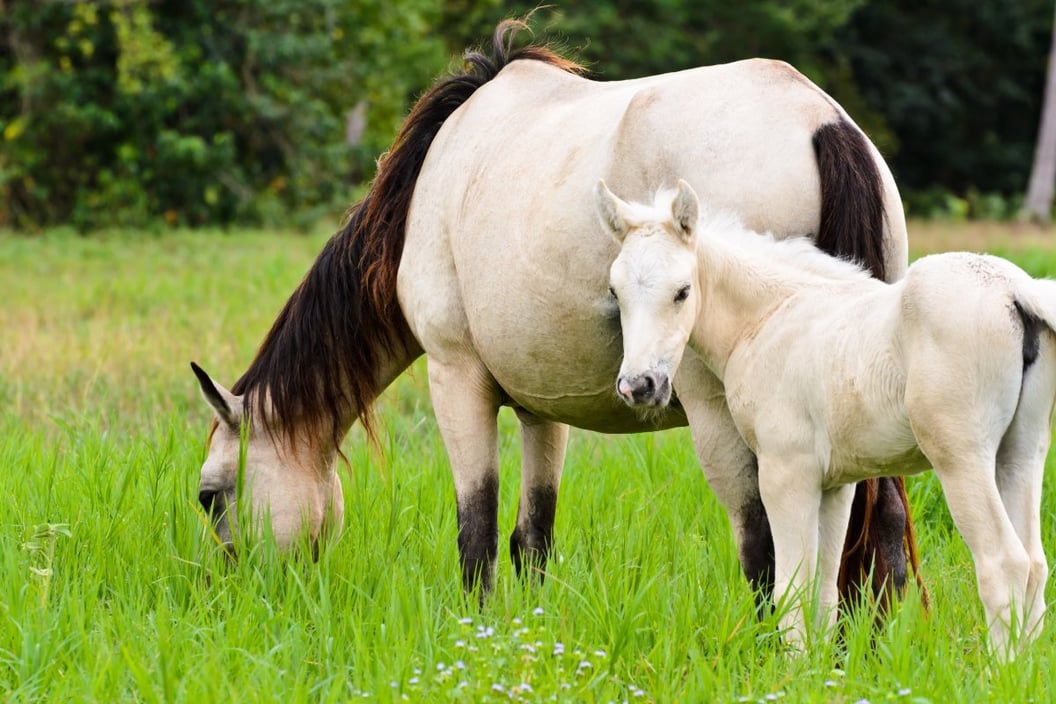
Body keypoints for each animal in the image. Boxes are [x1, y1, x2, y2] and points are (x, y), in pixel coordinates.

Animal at [191, 18, 922, 613]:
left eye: (210, 496)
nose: (229, 594)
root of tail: (817, 119)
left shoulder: (456, 378)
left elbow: (478, 533)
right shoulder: (542, 406)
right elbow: (532, 538)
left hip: (726, 418)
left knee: (764, 546)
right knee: (879, 527)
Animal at [600, 178, 1056, 656]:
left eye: (682, 291)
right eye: (615, 292)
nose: (639, 385)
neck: (769, 317)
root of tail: (1014, 290)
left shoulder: (785, 473)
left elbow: (791, 588)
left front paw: (789, 667)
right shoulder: (836, 485)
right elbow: (823, 592)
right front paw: (816, 667)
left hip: (961, 458)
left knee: (1003, 561)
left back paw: (999, 666)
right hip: (1019, 454)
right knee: (1035, 564)